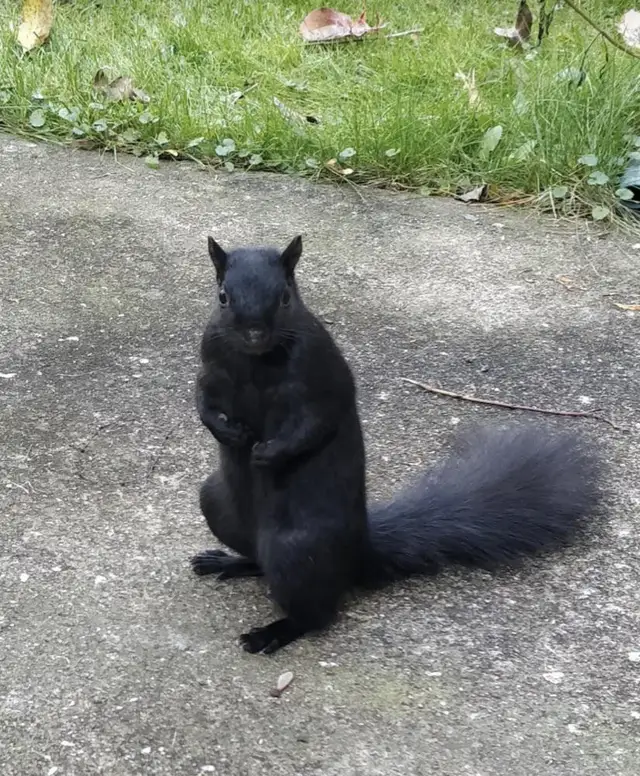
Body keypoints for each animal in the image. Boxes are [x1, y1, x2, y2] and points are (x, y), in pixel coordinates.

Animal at [191, 235, 601, 655]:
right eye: (222, 297)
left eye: (285, 297)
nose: (254, 333)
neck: (256, 362)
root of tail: (359, 550)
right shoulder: (211, 365)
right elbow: (203, 402)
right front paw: (228, 434)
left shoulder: (319, 378)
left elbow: (312, 425)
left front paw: (267, 454)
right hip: (218, 507)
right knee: (258, 560)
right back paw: (230, 562)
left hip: (297, 553)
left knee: (316, 613)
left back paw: (274, 632)